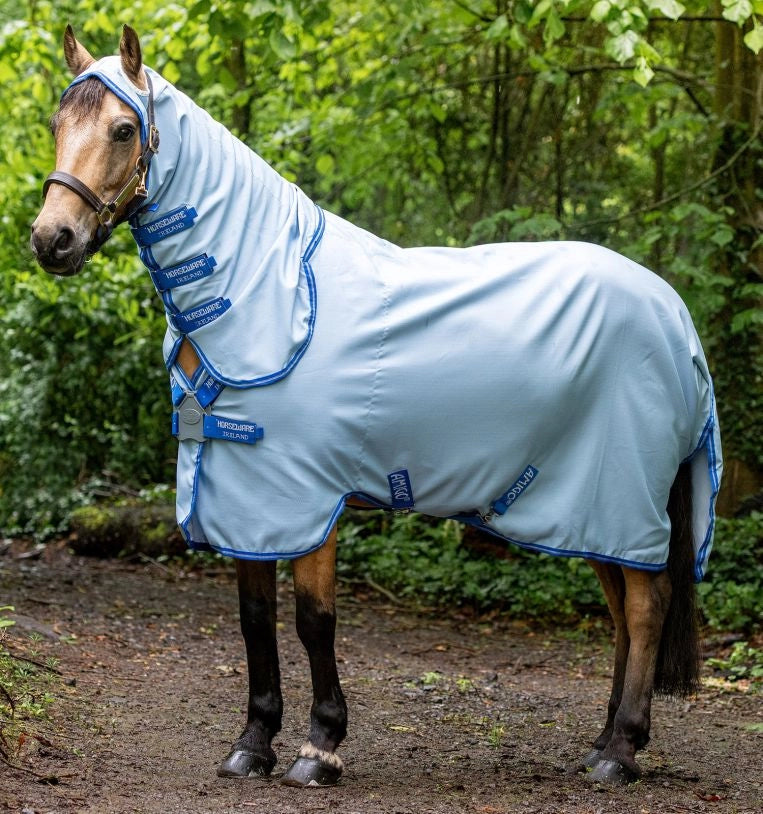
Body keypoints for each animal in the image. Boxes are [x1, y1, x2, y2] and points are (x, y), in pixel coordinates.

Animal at [31, 26, 722, 789]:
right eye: (57, 125)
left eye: (124, 130)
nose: (52, 239)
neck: (269, 294)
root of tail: (674, 316)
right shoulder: (245, 497)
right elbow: (252, 618)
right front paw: (252, 744)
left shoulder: (305, 497)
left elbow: (313, 621)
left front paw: (319, 748)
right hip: (591, 512)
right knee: (623, 613)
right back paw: (604, 742)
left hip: (622, 500)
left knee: (647, 607)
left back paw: (620, 753)